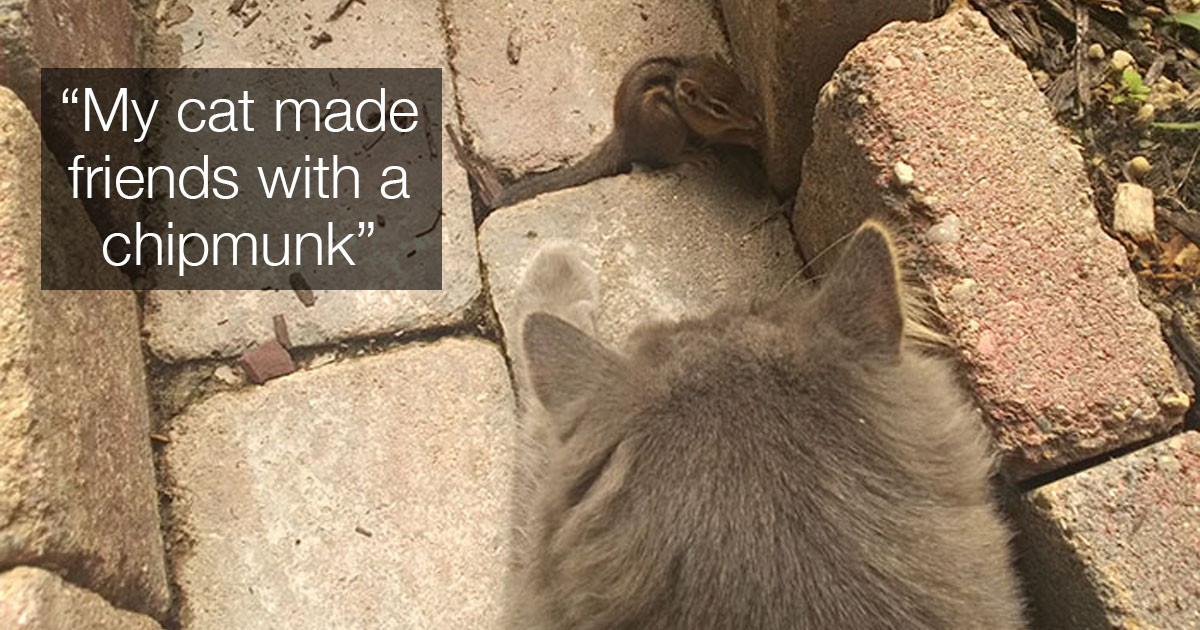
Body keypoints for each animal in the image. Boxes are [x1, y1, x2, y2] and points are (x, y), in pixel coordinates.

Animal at [486, 55, 763, 209]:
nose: (751, 116)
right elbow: (722, 135)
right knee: (667, 156)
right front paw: (751, 133)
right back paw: (693, 155)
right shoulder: (699, 125)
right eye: (718, 108)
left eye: (740, 82)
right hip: (669, 127)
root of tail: (623, 137)